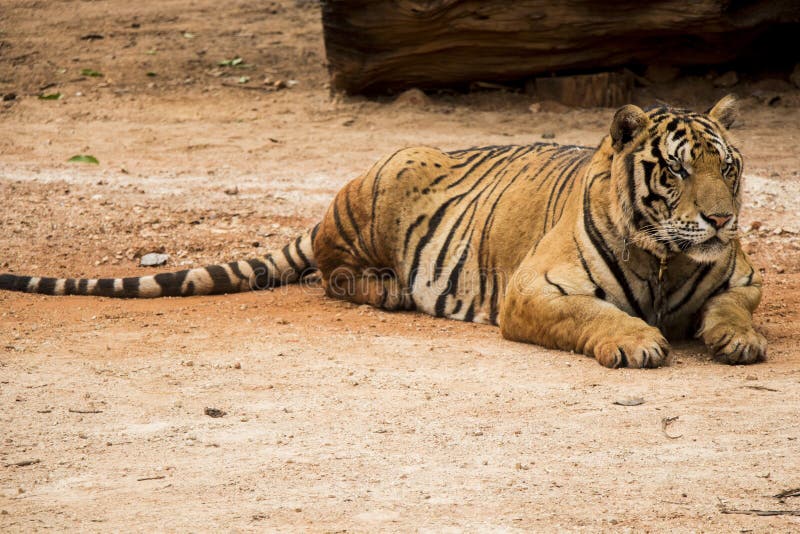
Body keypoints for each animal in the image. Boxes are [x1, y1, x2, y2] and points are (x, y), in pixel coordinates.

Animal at [0, 95, 765, 368]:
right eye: (677, 170)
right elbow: (596, 317)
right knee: (332, 273)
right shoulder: (534, 292)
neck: (664, 260)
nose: (721, 218)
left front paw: (739, 338)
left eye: (727, 168)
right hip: (385, 182)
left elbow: (733, 304)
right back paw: (387, 289)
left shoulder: (743, 275)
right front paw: (637, 342)